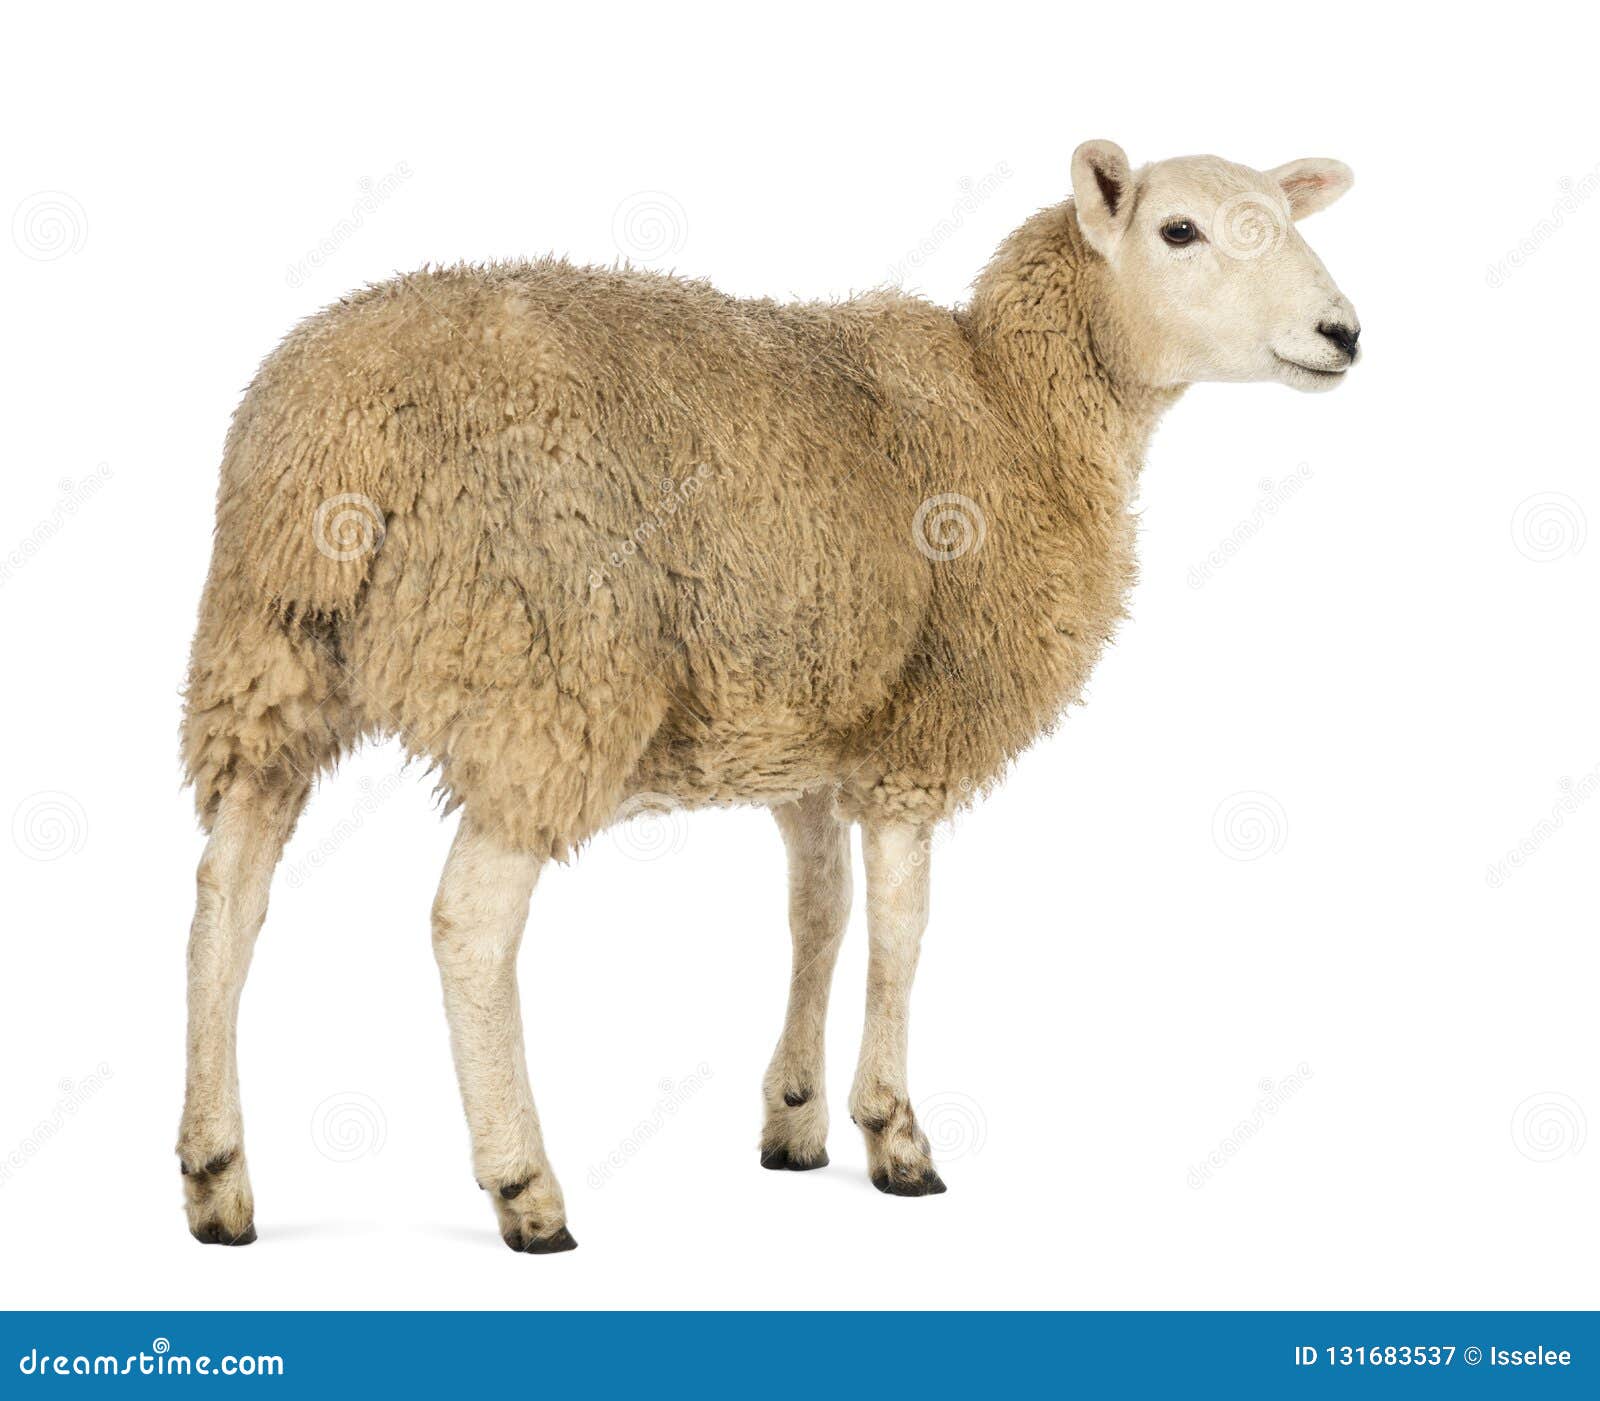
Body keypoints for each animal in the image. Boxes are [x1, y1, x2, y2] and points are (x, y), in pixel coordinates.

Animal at [177, 141, 1359, 1252]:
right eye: (1178, 229)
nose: (1343, 332)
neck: (1018, 409)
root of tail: (346, 430)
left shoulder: (811, 733)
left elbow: (817, 915)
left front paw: (793, 1119)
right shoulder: (917, 731)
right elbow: (901, 932)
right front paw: (894, 1134)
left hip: (267, 663)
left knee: (226, 900)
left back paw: (214, 1176)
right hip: (546, 676)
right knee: (465, 929)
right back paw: (526, 1190)